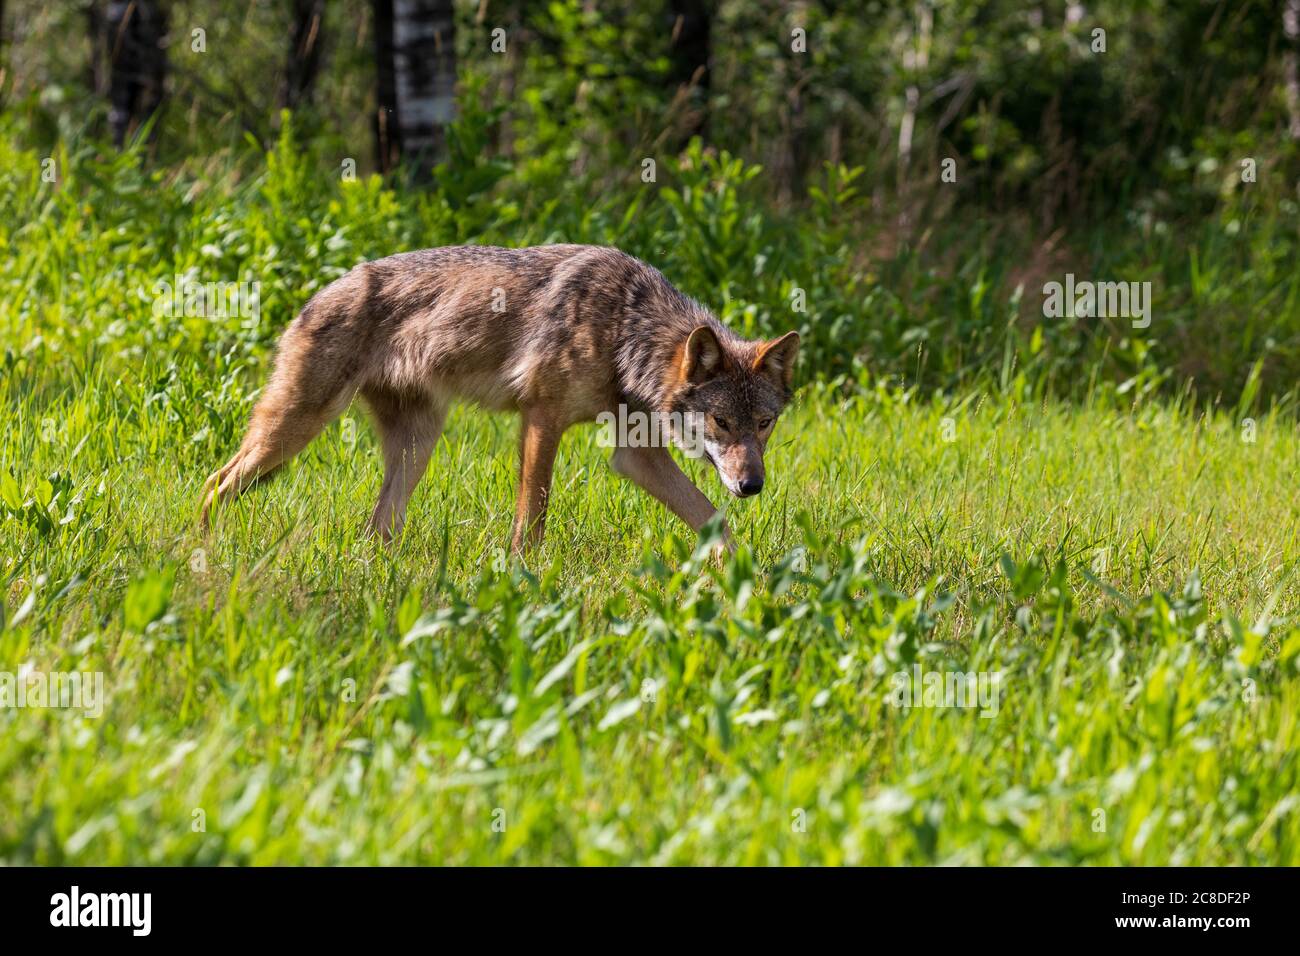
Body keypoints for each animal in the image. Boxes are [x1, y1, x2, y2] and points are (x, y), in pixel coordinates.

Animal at [200, 244, 799, 555]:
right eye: (721, 421)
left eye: (764, 423)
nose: (752, 486)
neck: (625, 329)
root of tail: (317, 293)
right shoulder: (542, 420)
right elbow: (533, 513)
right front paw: (522, 577)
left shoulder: (634, 454)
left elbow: (712, 518)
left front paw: (747, 581)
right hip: (298, 425)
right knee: (216, 481)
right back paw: (201, 553)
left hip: (416, 447)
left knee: (377, 525)